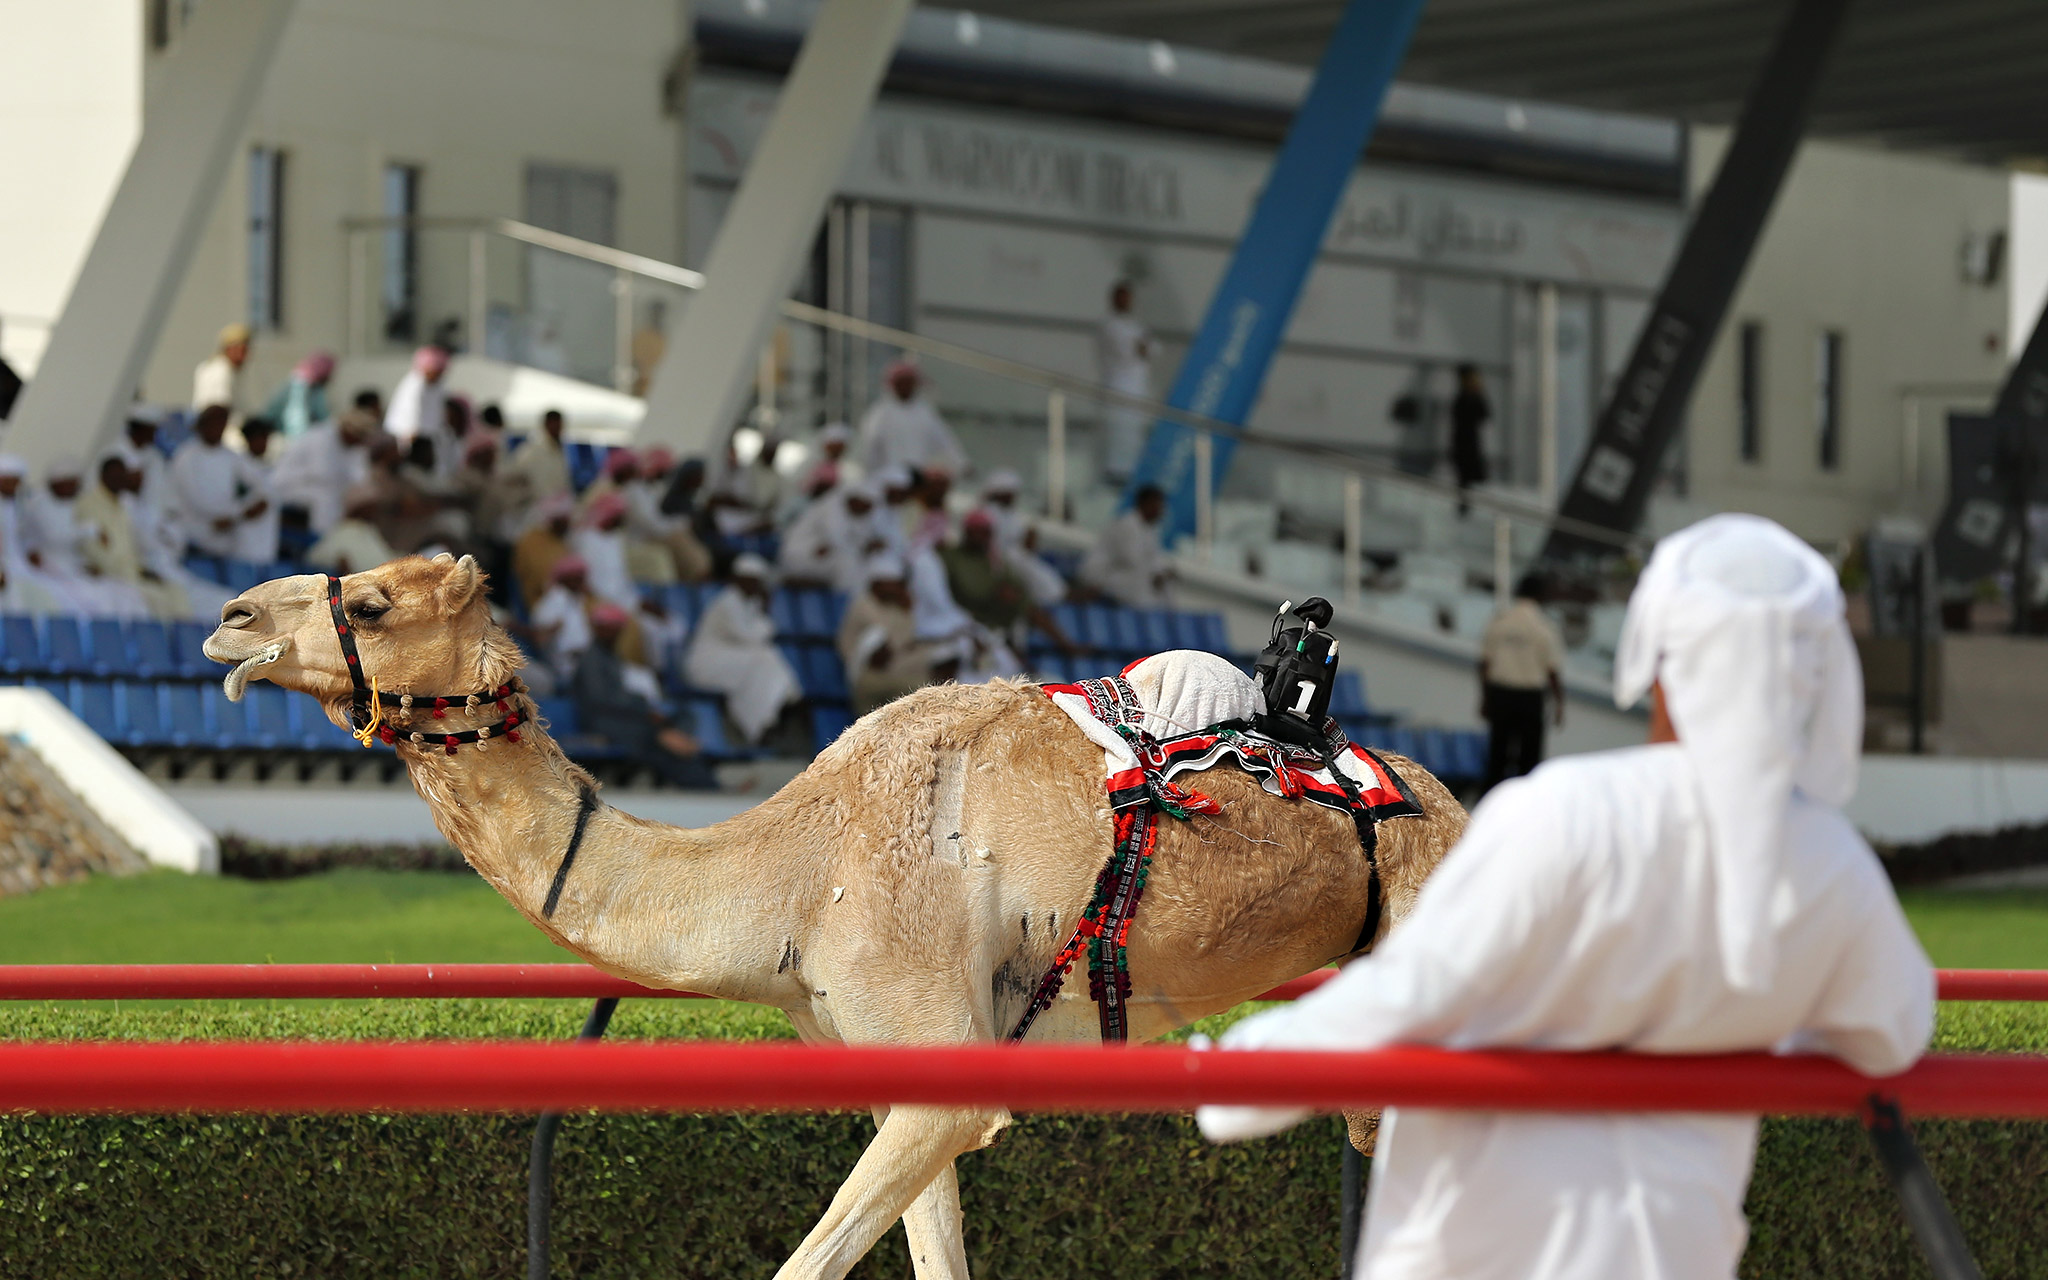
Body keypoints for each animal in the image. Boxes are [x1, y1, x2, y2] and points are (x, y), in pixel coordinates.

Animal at [203, 555, 1468, 1279]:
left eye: (371, 600)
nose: (228, 617)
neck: (799, 872)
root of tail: (1449, 799)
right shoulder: (903, 1074)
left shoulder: (934, 1052)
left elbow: (807, 1264)